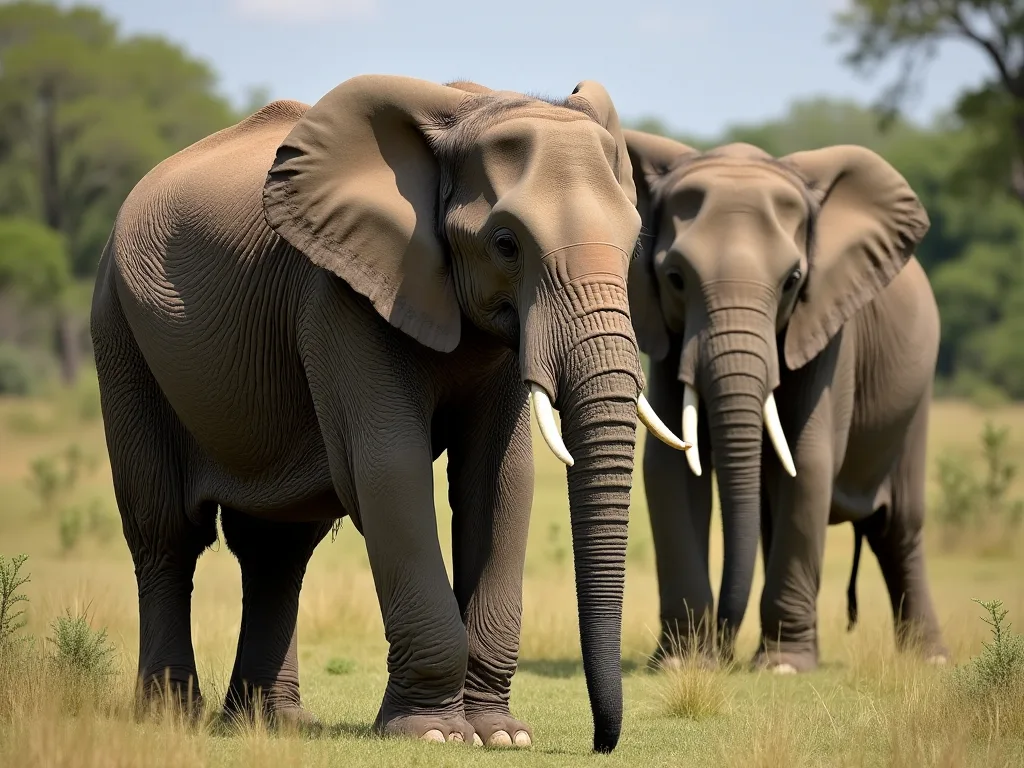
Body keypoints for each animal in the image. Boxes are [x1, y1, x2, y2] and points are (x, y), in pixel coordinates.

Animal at [89, 74, 687, 753]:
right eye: (506, 245)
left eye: (633, 244)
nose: (601, 742)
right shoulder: (338, 293)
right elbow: (390, 470)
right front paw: (437, 735)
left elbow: (502, 481)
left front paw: (502, 736)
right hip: (120, 330)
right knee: (167, 534)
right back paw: (171, 715)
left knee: (277, 549)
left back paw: (273, 724)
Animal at [622, 129, 949, 673]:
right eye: (675, 279)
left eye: (793, 281)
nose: (725, 650)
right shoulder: (666, 338)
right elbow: (669, 470)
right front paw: (682, 665)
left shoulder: (830, 329)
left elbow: (809, 461)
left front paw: (782, 666)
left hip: (918, 392)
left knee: (898, 528)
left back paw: (931, 661)